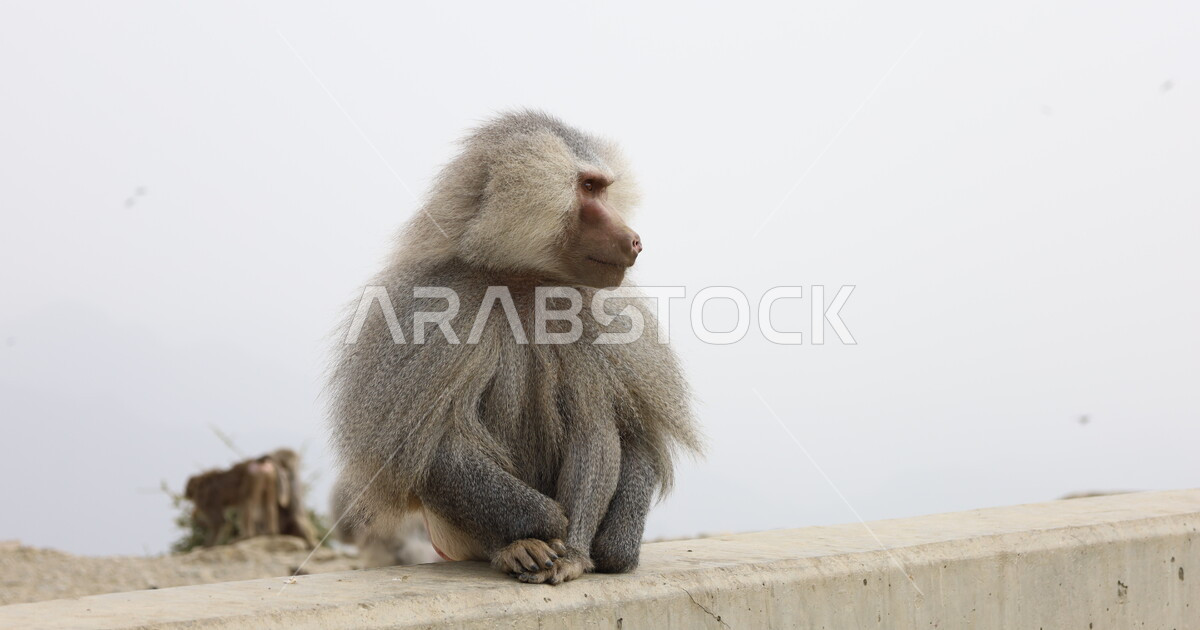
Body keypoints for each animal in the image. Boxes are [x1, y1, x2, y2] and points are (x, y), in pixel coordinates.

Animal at [329, 111, 702, 585]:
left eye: (602, 187)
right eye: (588, 187)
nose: (634, 239)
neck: (523, 282)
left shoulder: (599, 318)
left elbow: (609, 429)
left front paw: (585, 549)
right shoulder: (423, 308)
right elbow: (427, 442)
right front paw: (544, 523)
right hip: (450, 536)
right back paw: (516, 547)